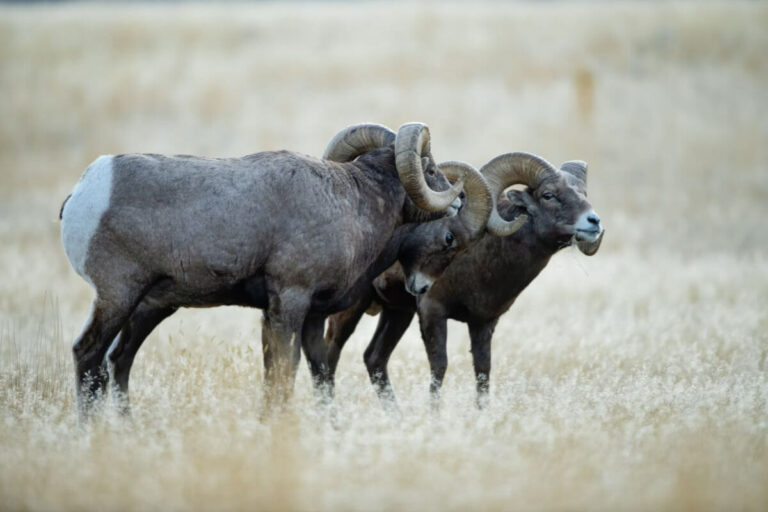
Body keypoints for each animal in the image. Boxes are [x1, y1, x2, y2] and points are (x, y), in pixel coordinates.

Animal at [60, 122, 469, 418]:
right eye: (431, 169)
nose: (460, 197)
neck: (353, 205)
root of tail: (83, 190)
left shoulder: (309, 317)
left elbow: (312, 374)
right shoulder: (289, 301)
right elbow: (285, 373)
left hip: (150, 306)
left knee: (117, 361)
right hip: (118, 297)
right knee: (88, 356)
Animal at [324, 152, 604, 409]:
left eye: (584, 193)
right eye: (548, 195)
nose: (594, 222)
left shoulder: (483, 323)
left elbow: (483, 373)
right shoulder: (433, 312)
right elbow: (439, 368)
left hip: (397, 313)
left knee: (375, 359)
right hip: (352, 308)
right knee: (330, 354)